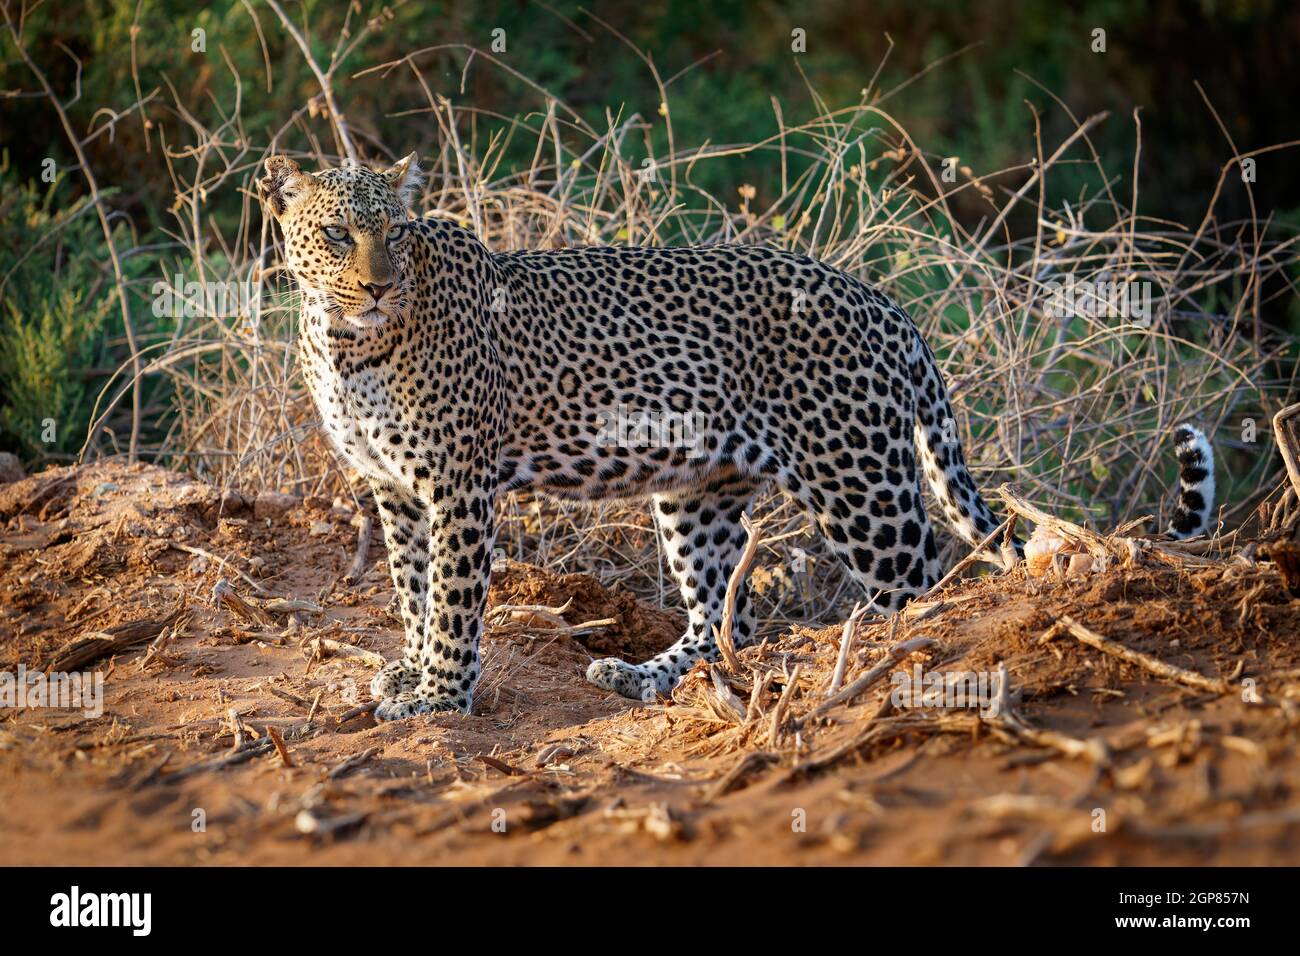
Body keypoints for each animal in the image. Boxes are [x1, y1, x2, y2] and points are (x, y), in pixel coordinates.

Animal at [259, 152, 1216, 721]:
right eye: (339, 233)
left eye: (396, 233)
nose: (377, 286)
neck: (347, 341)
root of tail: (885, 304)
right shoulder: (393, 488)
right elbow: (411, 589)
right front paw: (410, 671)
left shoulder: (457, 485)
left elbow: (455, 598)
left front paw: (441, 696)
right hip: (697, 491)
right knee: (734, 612)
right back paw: (641, 677)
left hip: (858, 480)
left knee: (923, 584)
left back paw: (888, 665)